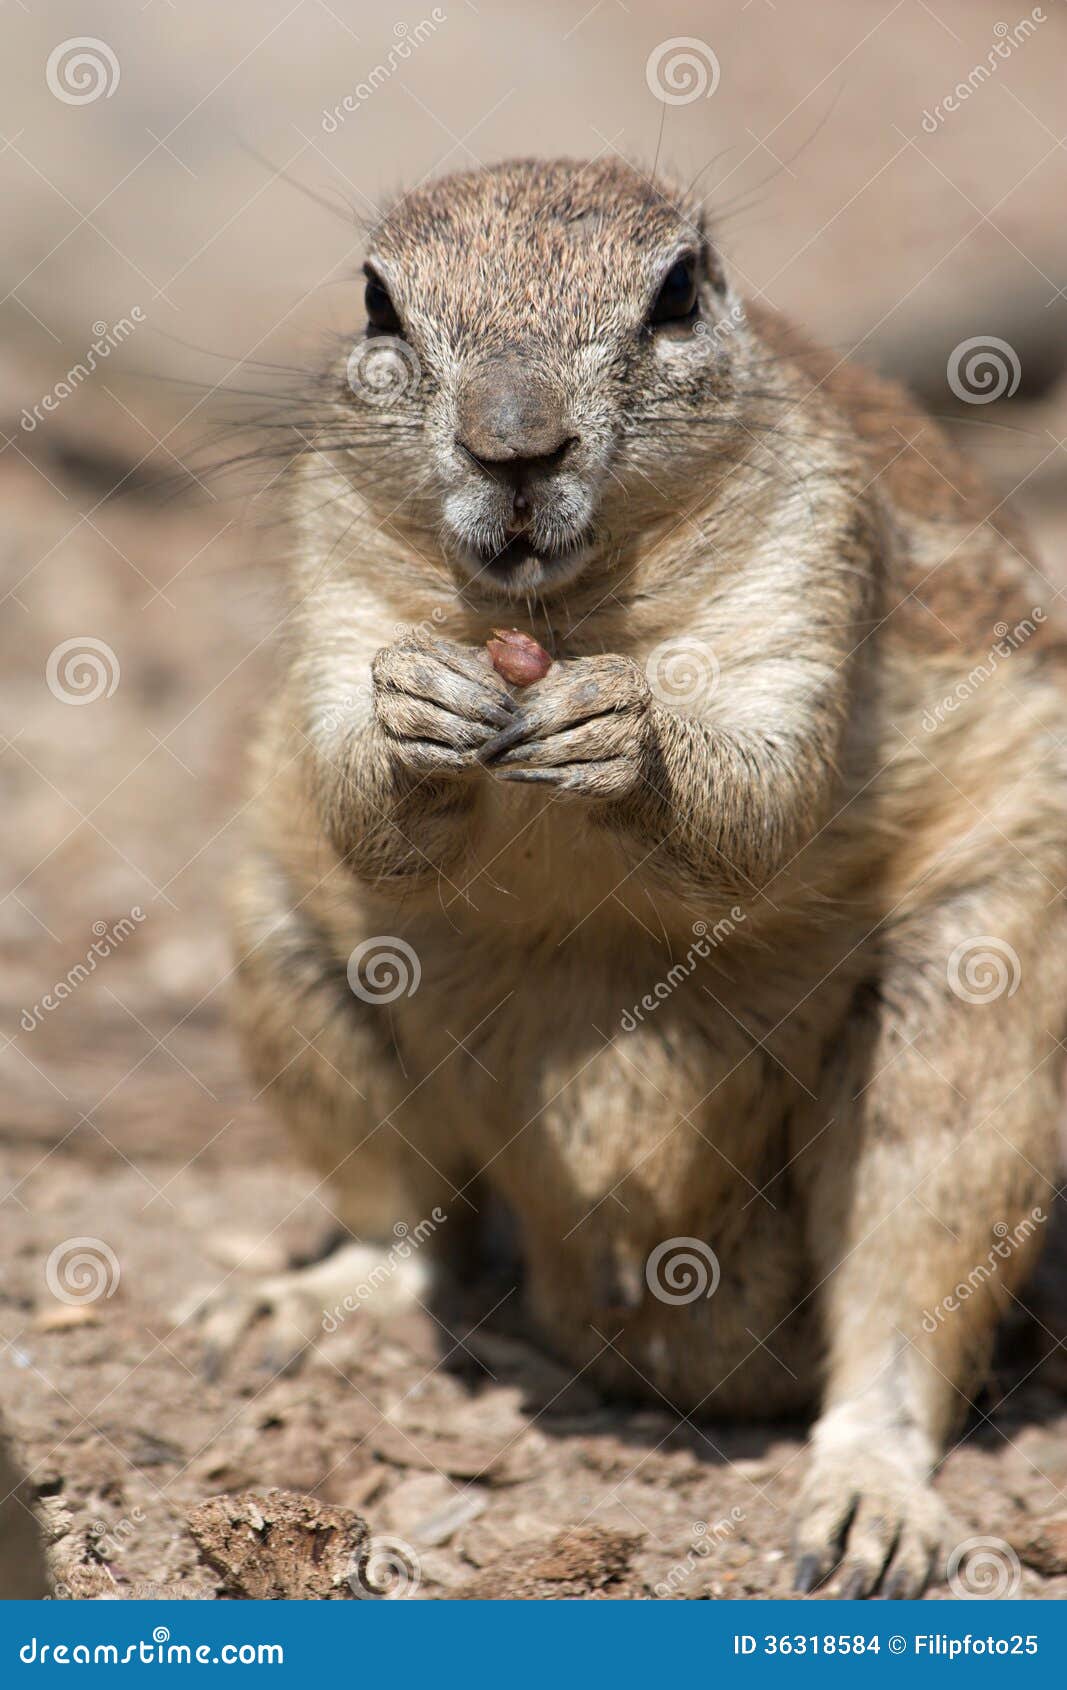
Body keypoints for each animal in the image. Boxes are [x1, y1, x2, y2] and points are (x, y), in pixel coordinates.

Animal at [213, 157, 1067, 1598]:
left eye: (674, 294)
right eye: (377, 300)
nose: (513, 442)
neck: (554, 610)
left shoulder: (815, 555)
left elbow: (766, 794)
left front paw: (629, 736)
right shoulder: (330, 563)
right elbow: (352, 793)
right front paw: (413, 711)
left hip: (973, 1013)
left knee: (903, 1293)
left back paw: (868, 1496)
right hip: (288, 947)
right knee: (413, 1232)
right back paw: (295, 1300)